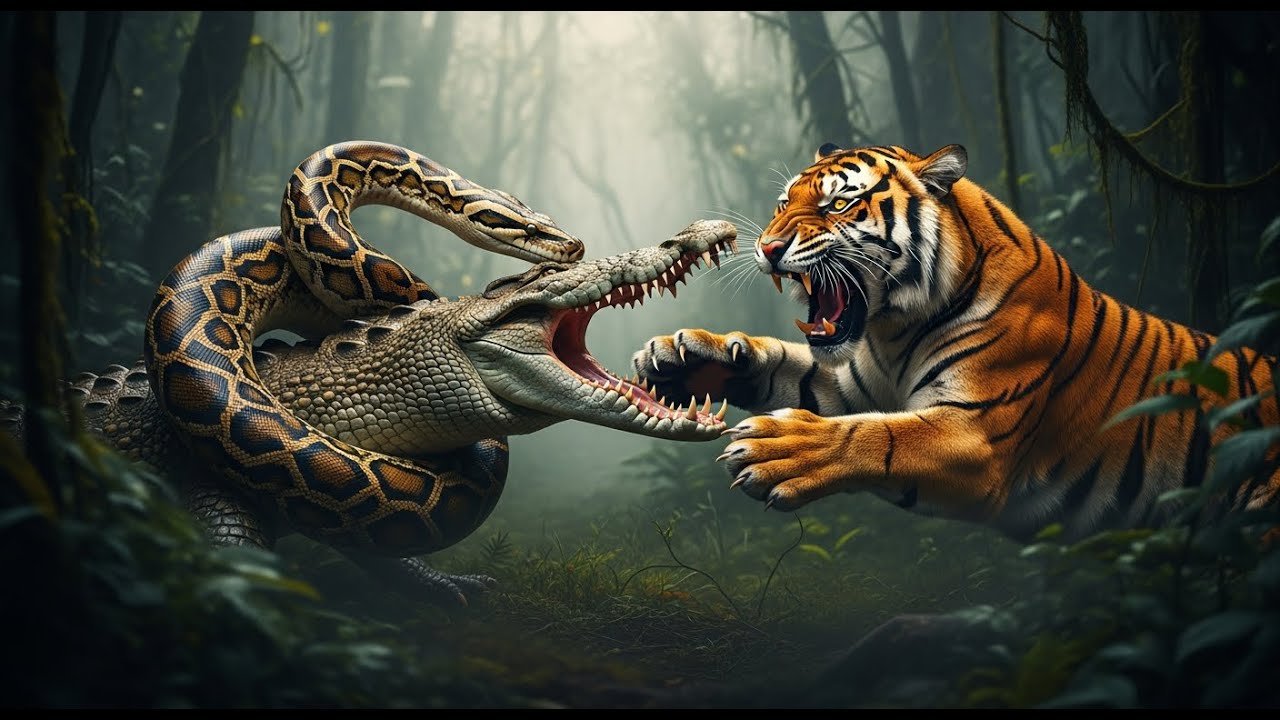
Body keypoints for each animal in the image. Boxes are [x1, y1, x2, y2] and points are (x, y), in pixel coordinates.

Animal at [633, 142, 1279, 543]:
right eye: (782, 203)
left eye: (839, 202)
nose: (766, 247)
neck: (894, 328)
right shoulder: (848, 382)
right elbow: (779, 363)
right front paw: (681, 355)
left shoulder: (976, 432)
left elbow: (876, 436)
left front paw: (777, 448)